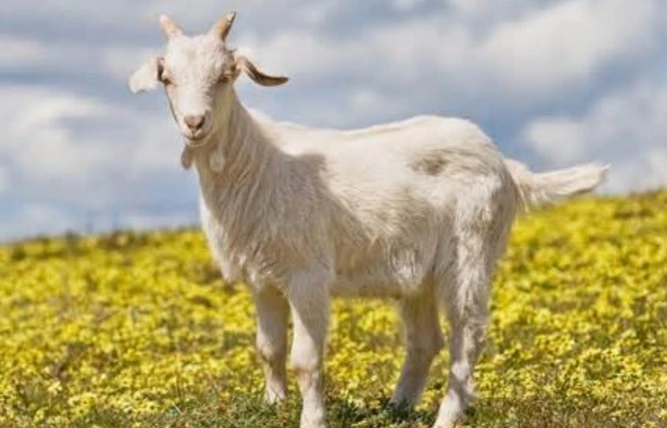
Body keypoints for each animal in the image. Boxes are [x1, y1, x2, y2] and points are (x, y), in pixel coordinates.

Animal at [129, 12, 608, 428]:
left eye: (225, 76)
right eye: (167, 78)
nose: (195, 123)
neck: (259, 162)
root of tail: (506, 165)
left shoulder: (307, 275)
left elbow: (305, 359)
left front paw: (311, 420)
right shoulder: (261, 278)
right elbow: (269, 349)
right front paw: (274, 407)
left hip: (472, 249)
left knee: (468, 334)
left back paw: (446, 417)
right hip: (419, 275)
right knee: (424, 341)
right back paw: (395, 410)